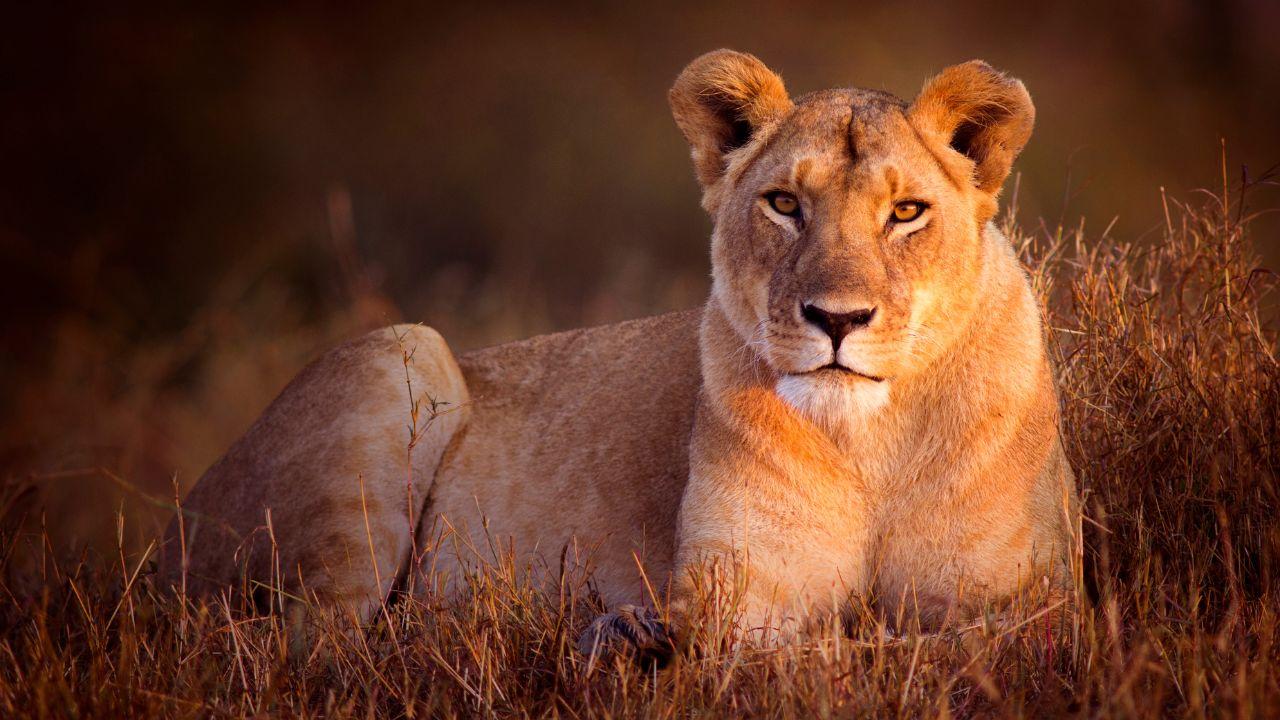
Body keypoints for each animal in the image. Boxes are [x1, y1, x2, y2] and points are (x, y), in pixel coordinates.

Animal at [162, 50, 1078, 657]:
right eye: (784, 204)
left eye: (907, 212)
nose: (837, 319)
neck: (869, 444)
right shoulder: (736, 599)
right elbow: (803, 654)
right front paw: (635, 634)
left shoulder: (1024, 601)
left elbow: (941, 645)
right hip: (399, 352)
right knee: (309, 651)